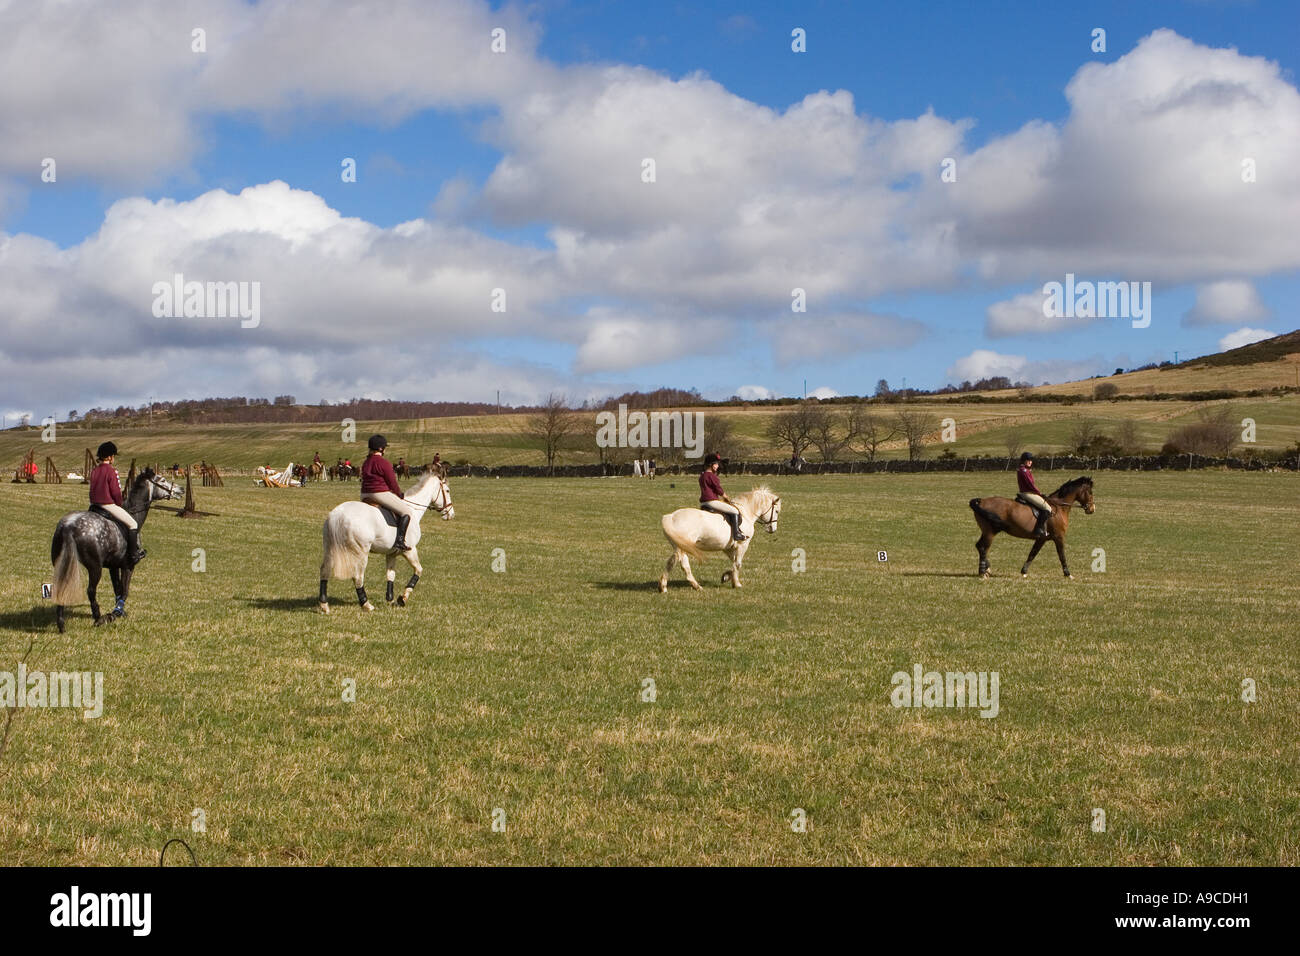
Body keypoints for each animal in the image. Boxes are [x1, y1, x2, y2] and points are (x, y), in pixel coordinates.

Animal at [49, 468, 181, 631]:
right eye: (162, 480)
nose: (180, 490)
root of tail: (68, 526)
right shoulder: (128, 566)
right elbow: (124, 590)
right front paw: (117, 612)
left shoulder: (113, 566)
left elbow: (117, 588)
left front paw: (119, 611)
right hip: (95, 567)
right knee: (91, 590)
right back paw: (98, 618)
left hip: (63, 563)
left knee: (61, 586)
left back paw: (61, 624)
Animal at [318, 466, 455, 612]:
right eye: (447, 490)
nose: (451, 514)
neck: (413, 510)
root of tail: (338, 515)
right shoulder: (410, 550)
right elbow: (419, 570)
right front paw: (402, 598)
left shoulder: (391, 554)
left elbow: (390, 575)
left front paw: (390, 600)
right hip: (361, 553)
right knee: (358, 577)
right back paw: (366, 604)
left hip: (330, 548)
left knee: (325, 571)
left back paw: (324, 605)